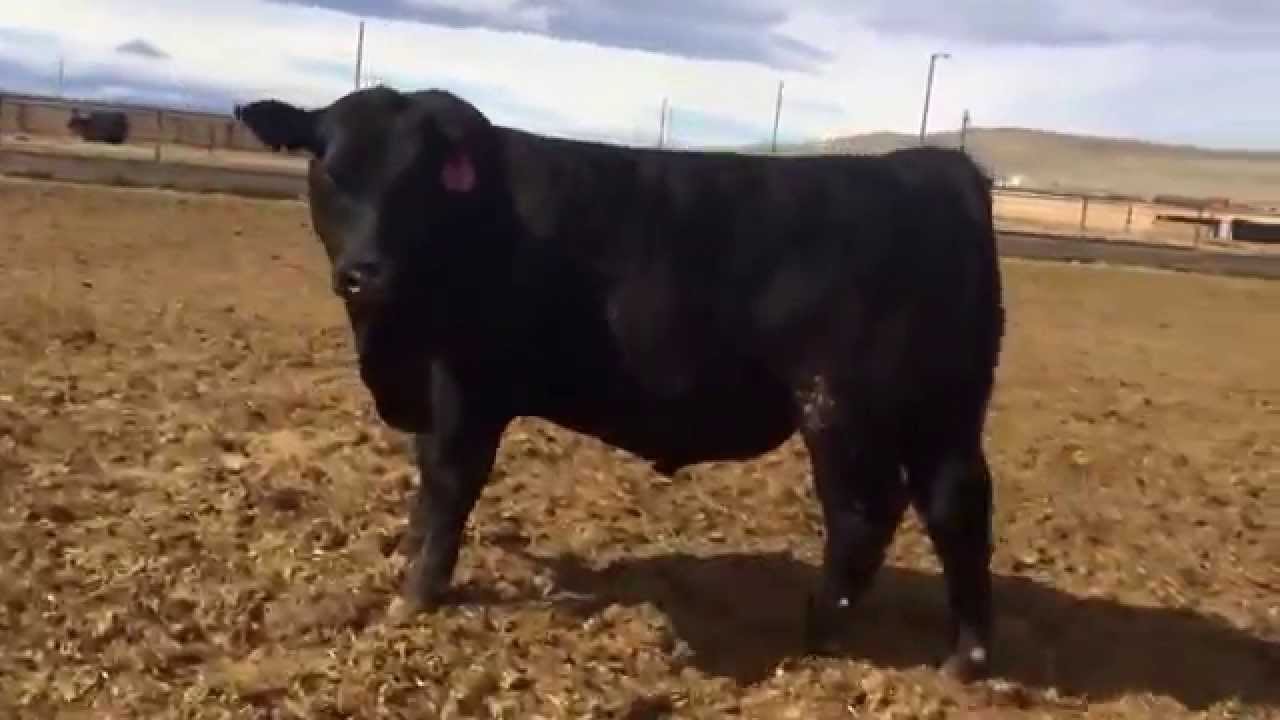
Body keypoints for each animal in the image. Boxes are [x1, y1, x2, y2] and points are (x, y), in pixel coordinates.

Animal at [235, 86, 1006, 682]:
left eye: (417, 182)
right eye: (332, 171)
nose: (365, 272)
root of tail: (936, 168)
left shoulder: (469, 387)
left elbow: (450, 481)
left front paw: (417, 593)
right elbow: (426, 483)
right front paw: (404, 553)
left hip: (843, 405)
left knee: (865, 511)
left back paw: (819, 629)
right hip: (944, 410)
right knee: (955, 505)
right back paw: (965, 656)